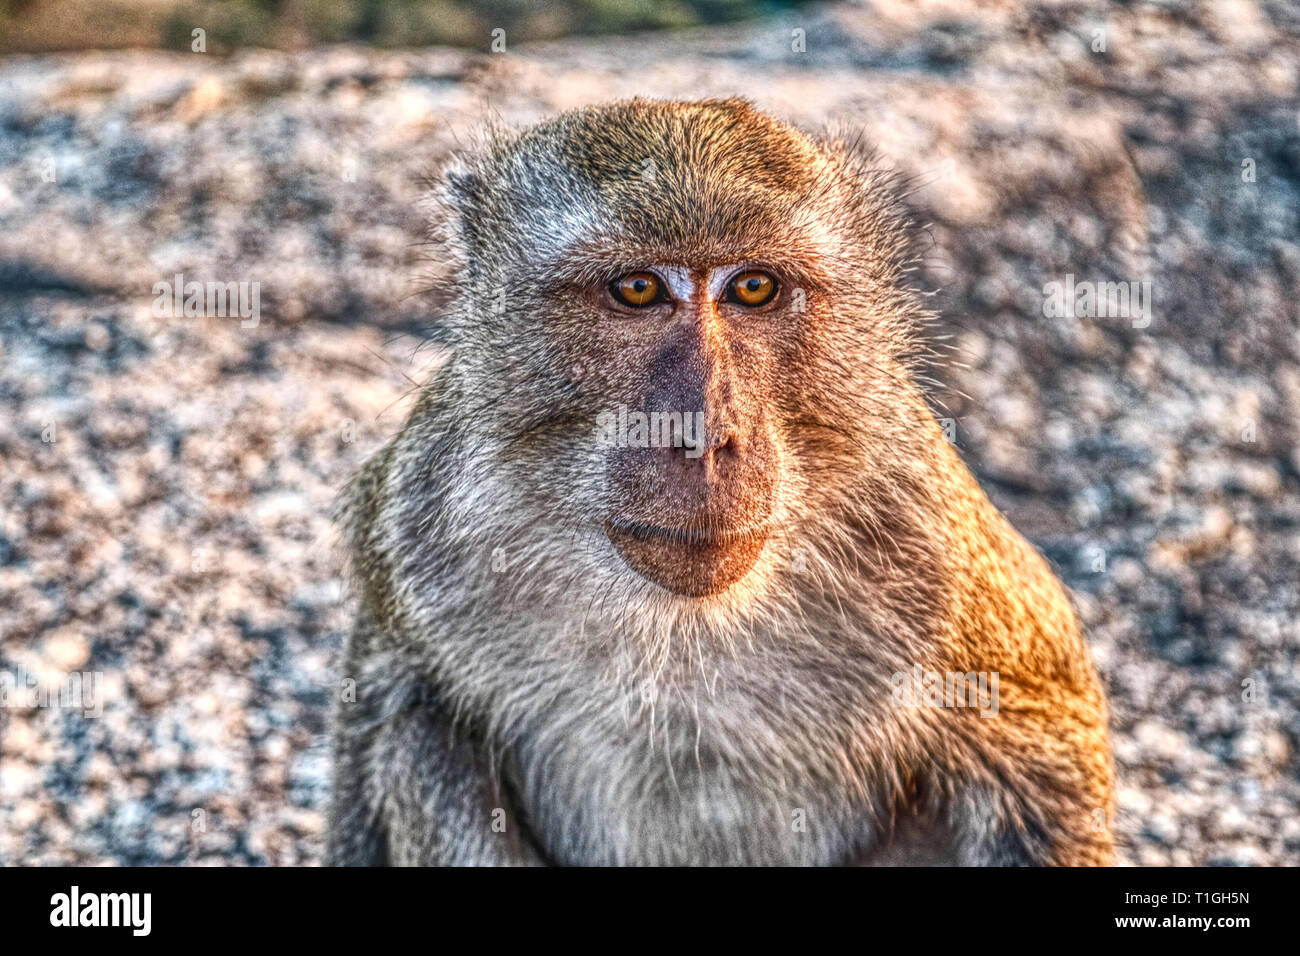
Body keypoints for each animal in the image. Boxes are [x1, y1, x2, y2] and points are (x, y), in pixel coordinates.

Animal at [325, 98, 1114, 866]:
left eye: (754, 287)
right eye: (638, 289)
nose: (706, 434)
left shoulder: (932, 544)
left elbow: (1042, 734)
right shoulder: (414, 531)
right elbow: (390, 706)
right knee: (420, 739)